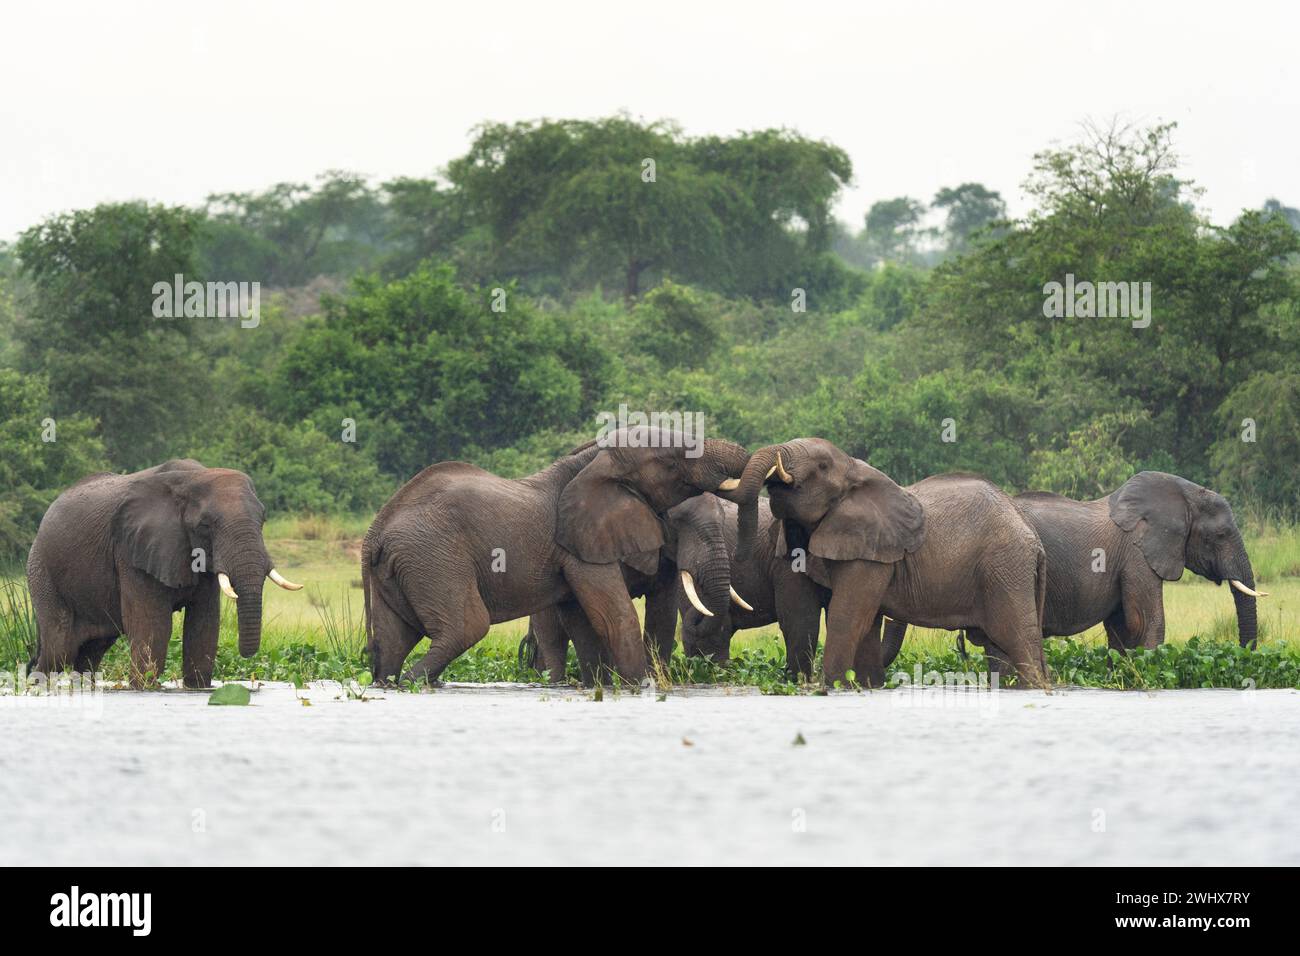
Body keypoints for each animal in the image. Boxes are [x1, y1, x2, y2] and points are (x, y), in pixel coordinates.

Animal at [26, 459, 303, 688]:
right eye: (205, 525)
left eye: (263, 520)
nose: (246, 655)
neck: (193, 477)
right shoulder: (131, 551)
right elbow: (154, 627)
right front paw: (144, 688)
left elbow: (204, 626)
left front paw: (198, 688)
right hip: (42, 571)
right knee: (58, 651)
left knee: (91, 652)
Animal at [362, 427, 750, 685]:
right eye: (672, 462)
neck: (595, 459)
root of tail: (374, 531)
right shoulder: (578, 543)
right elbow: (614, 615)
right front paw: (640, 688)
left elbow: (587, 618)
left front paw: (601, 686)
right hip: (432, 557)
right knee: (466, 627)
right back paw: (412, 682)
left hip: (403, 565)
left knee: (395, 641)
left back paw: (390, 682)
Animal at [731, 439, 1049, 688]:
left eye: (822, 466)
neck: (855, 469)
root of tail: (1032, 535)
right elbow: (857, 621)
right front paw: (864, 686)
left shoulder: (870, 552)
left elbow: (846, 615)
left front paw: (831, 687)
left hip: (1004, 567)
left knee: (1017, 638)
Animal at [880, 471, 1266, 667]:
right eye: (1220, 535)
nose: (1244, 657)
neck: (1182, 493)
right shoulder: (1138, 555)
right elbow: (1145, 622)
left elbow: (1122, 630)